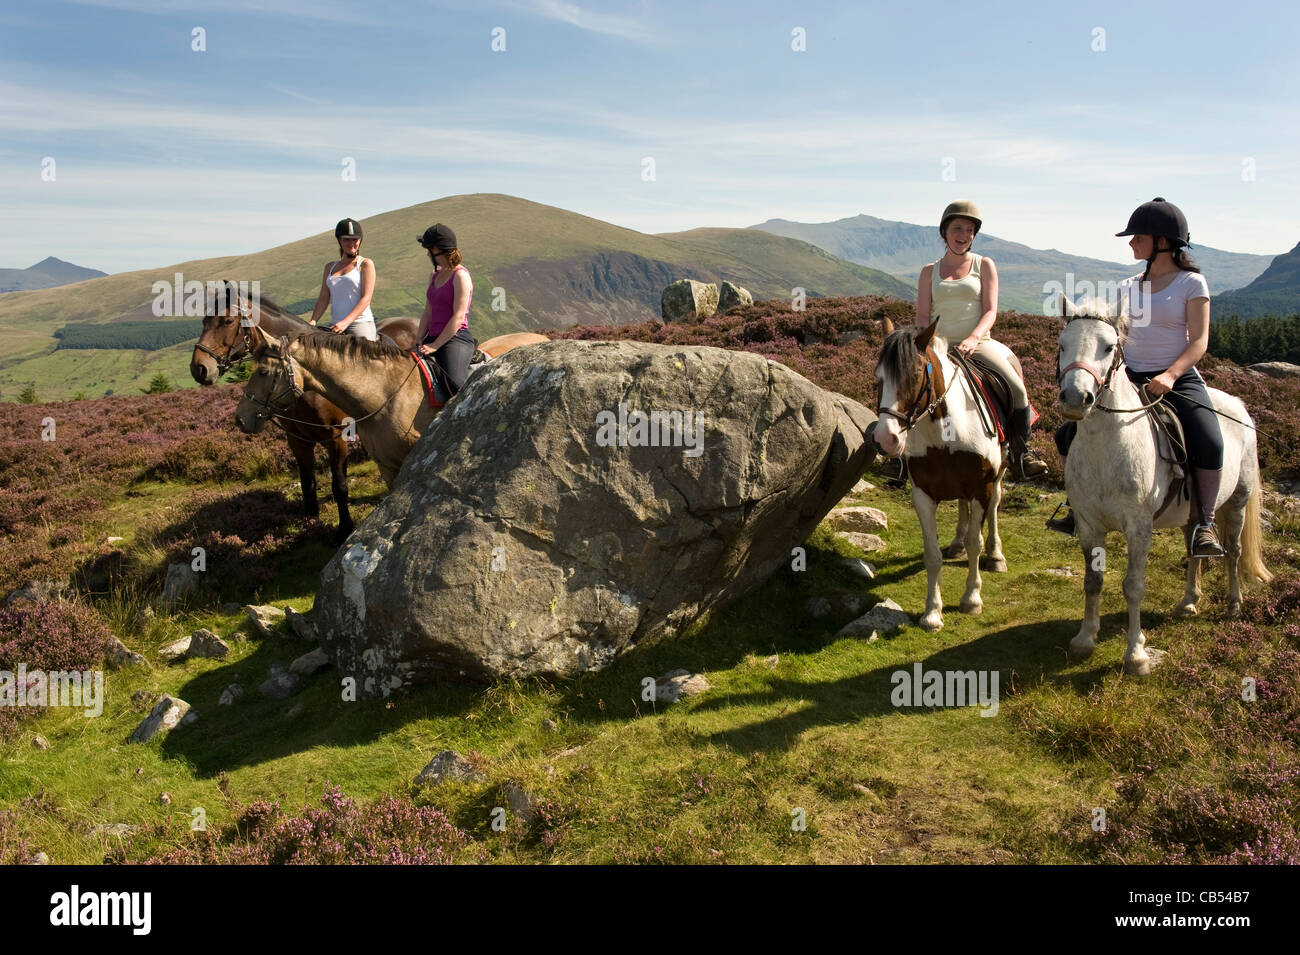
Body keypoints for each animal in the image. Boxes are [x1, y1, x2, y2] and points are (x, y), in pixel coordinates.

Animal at [190, 281, 419, 544]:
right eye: (204, 321)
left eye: (227, 321)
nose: (199, 369)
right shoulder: (297, 440)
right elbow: (307, 483)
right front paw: (310, 523)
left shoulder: (337, 438)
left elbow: (339, 486)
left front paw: (345, 529)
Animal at [871, 317, 1008, 632]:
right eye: (878, 378)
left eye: (915, 375)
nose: (885, 439)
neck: (944, 436)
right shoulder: (923, 495)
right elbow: (932, 554)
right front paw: (932, 612)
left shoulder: (981, 487)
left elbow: (975, 543)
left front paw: (972, 598)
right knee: (962, 507)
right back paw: (956, 544)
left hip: (997, 474)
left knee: (995, 505)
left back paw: (995, 555)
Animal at [1057, 296, 1271, 676]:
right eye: (1062, 344)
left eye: (1108, 347)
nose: (1074, 398)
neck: (1106, 448)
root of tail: (1239, 406)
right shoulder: (1088, 525)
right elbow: (1092, 581)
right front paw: (1084, 639)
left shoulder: (1139, 527)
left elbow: (1133, 586)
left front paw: (1136, 655)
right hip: (1193, 514)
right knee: (1195, 549)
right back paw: (1188, 602)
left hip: (1238, 502)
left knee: (1233, 552)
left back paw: (1234, 604)